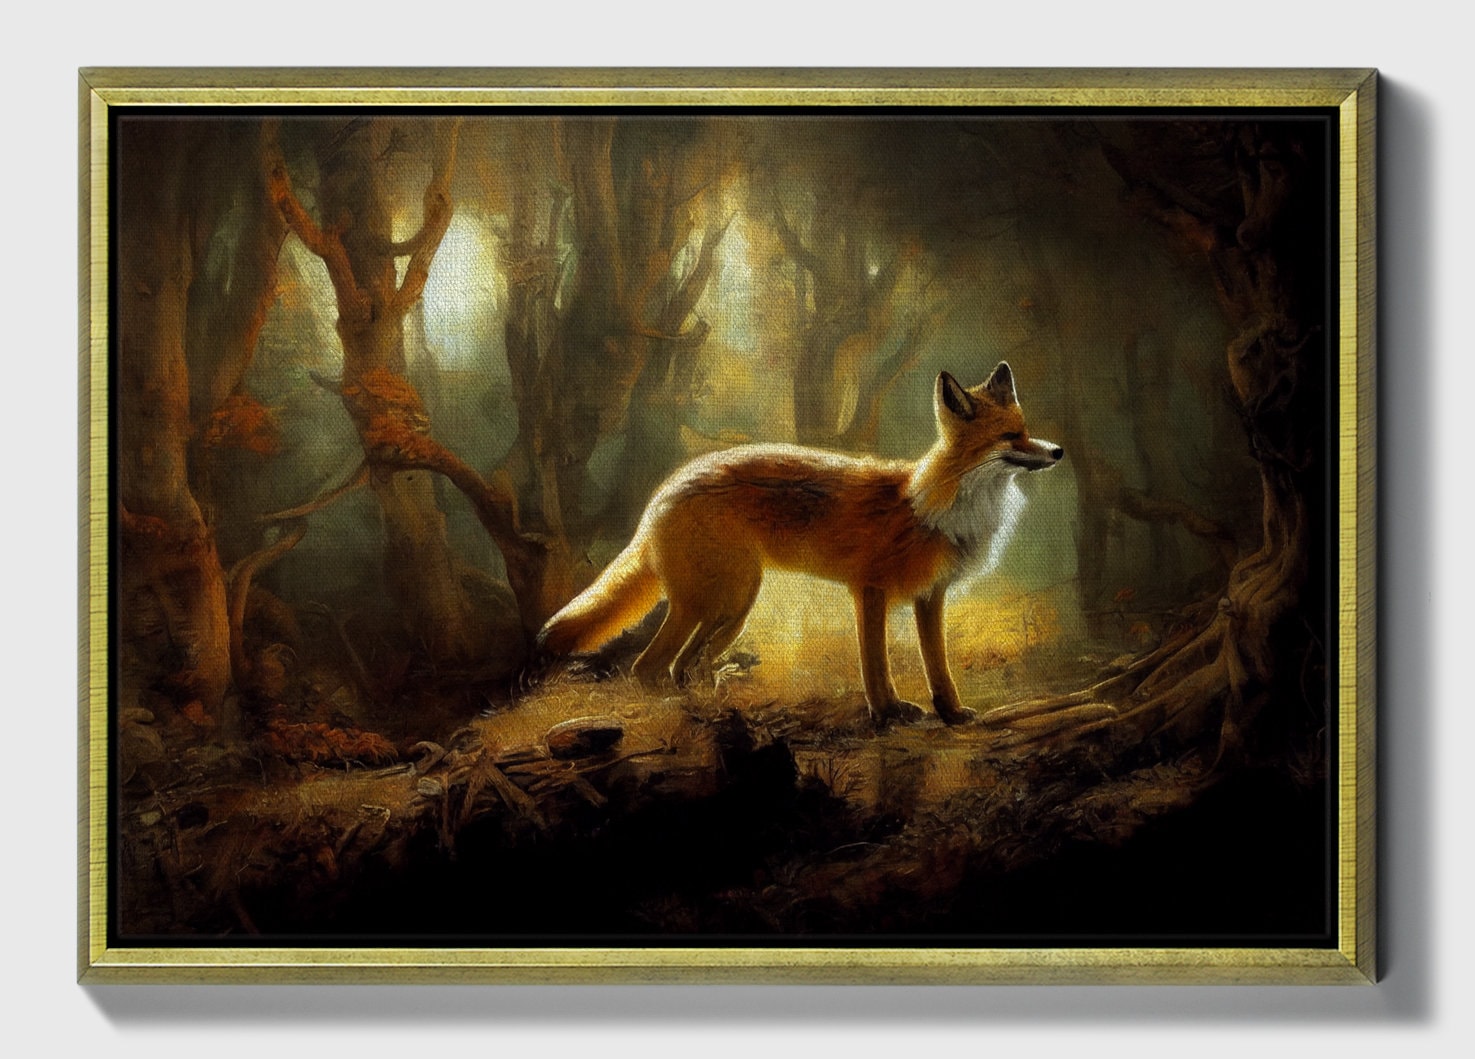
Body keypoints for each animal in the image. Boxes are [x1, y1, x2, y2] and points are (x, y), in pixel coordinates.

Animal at [537, 361, 1063, 726]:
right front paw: (887, 714)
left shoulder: (929, 596)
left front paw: (951, 713)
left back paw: (709, 702)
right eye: (1011, 436)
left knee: (684, 666)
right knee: (648, 668)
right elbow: (876, 664)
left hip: (730, 608)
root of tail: (662, 493)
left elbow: (939, 667)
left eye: (1026, 430)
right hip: (720, 600)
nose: (1057, 451)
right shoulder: (870, 590)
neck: (942, 501)